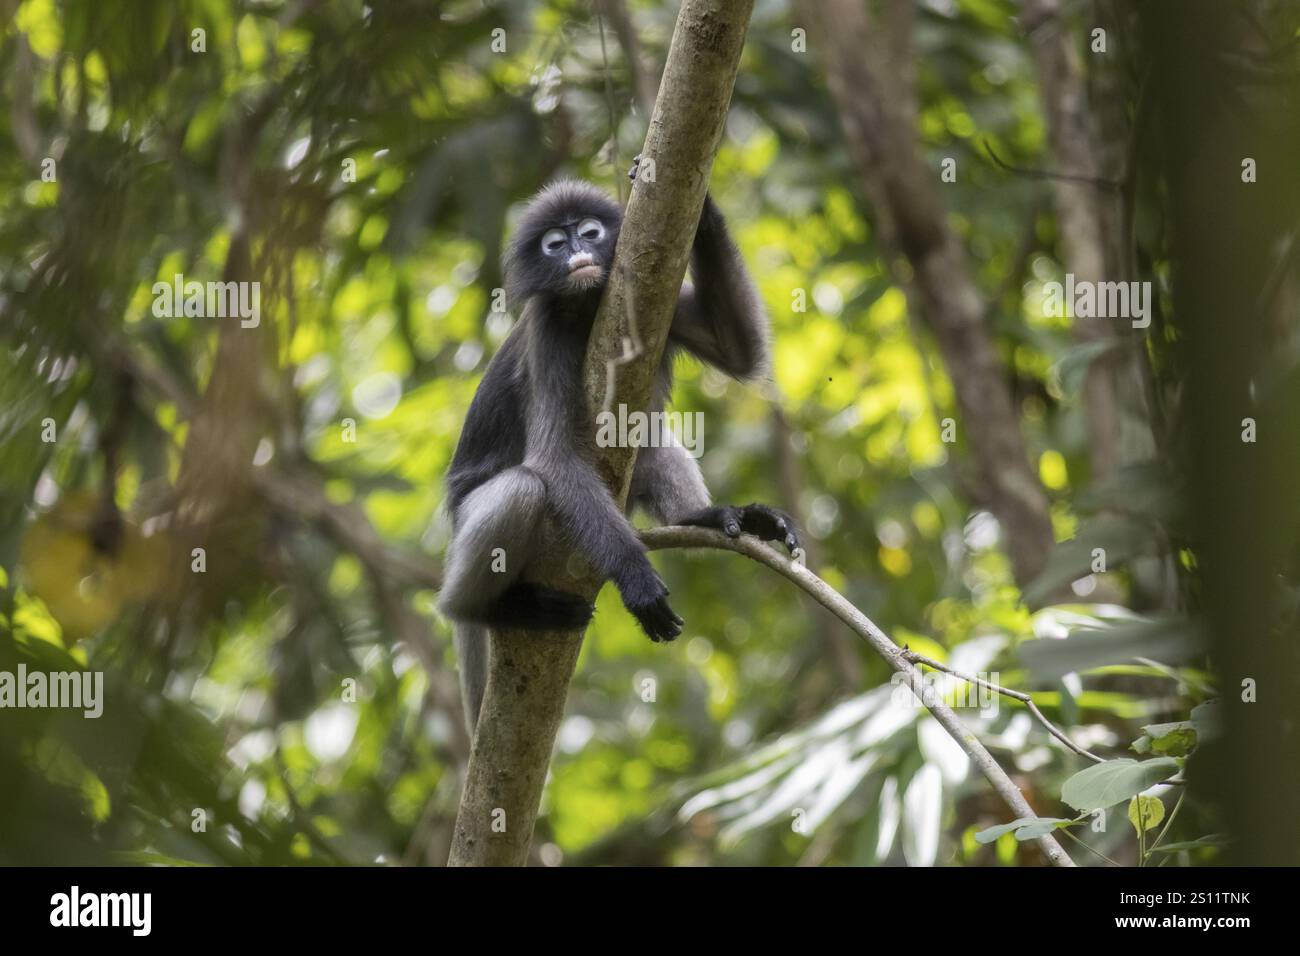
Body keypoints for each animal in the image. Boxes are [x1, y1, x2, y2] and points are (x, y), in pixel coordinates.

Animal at [439, 163, 800, 733]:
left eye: (589, 234)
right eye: (555, 243)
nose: (576, 256)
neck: (588, 306)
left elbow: (740, 352)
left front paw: (704, 207)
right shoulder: (546, 332)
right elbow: (556, 461)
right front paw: (637, 581)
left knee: (651, 440)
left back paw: (707, 517)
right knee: (523, 487)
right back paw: (486, 610)